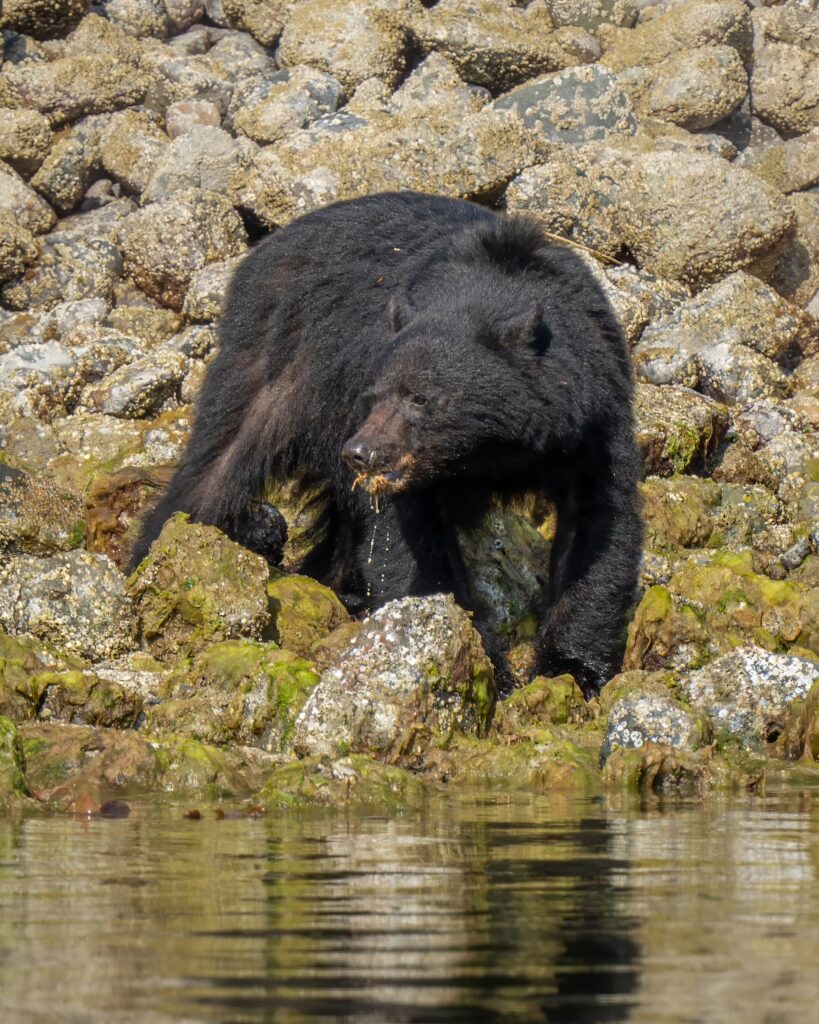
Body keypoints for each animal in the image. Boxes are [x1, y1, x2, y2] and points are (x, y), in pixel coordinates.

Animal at [130, 191, 643, 697]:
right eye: (375, 395)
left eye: (421, 398)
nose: (361, 452)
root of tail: (263, 249)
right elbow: (408, 538)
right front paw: (481, 663)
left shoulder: (594, 418)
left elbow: (598, 525)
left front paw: (572, 668)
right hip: (277, 358)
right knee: (219, 463)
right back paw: (157, 552)